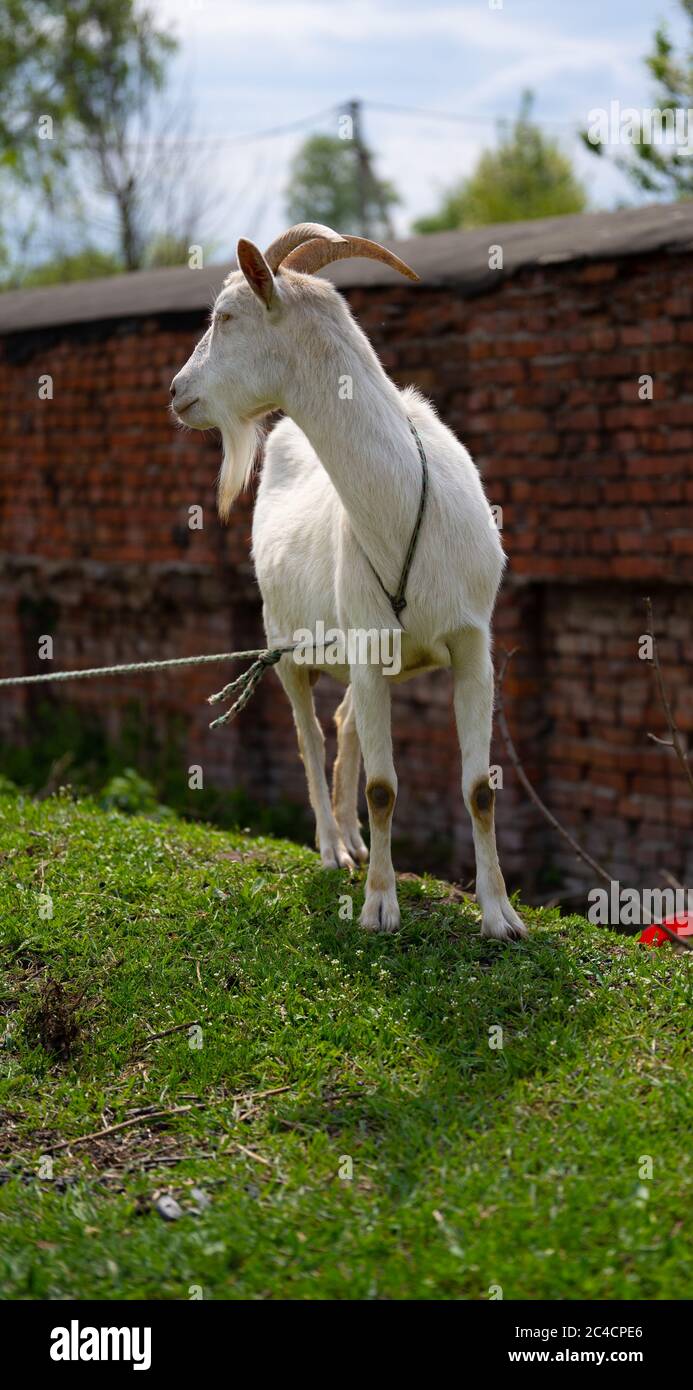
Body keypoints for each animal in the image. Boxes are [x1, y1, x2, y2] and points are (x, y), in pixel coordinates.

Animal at [170, 223, 526, 940]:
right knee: (310, 736)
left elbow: (479, 788)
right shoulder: (364, 647)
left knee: (342, 725)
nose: (175, 391)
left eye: (225, 318)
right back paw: (335, 847)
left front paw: (500, 915)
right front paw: (379, 905)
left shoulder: (472, 644)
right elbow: (383, 788)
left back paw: (355, 842)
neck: (405, 505)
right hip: (285, 647)